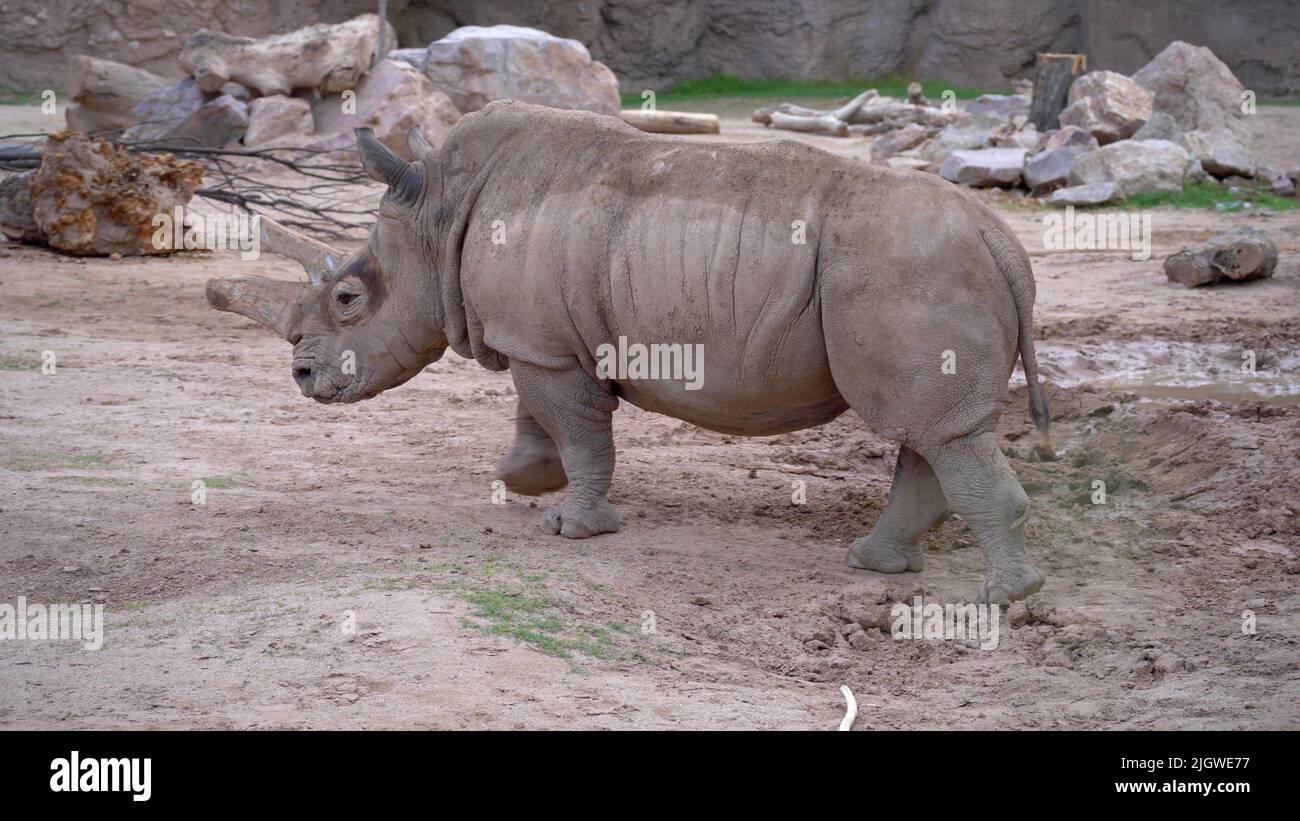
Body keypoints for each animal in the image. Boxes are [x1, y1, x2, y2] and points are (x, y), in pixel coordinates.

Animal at [207, 101, 1050, 603]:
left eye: (348, 299)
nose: (302, 374)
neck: (434, 220)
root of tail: (1000, 239)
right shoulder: (540, 337)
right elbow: (538, 414)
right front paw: (521, 478)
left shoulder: (545, 345)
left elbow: (581, 431)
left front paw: (569, 528)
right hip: (914, 270)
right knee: (928, 430)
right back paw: (877, 564)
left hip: (905, 268)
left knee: (934, 429)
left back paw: (996, 600)